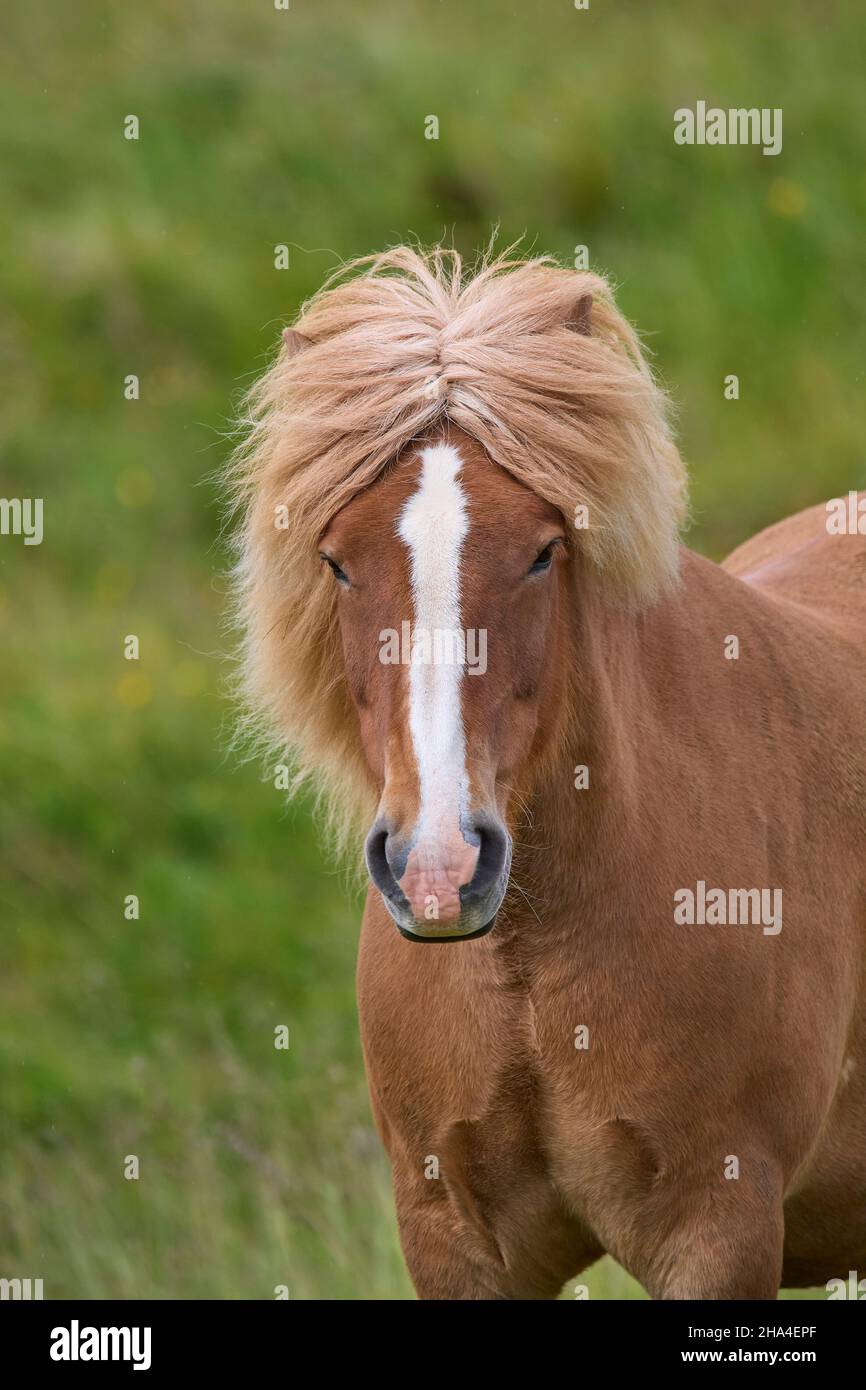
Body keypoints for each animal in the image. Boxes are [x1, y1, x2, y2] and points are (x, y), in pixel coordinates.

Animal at [230, 245, 866, 1299]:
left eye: (541, 552)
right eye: (336, 561)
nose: (439, 867)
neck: (526, 974)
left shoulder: (720, 1229)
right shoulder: (453, 1238)